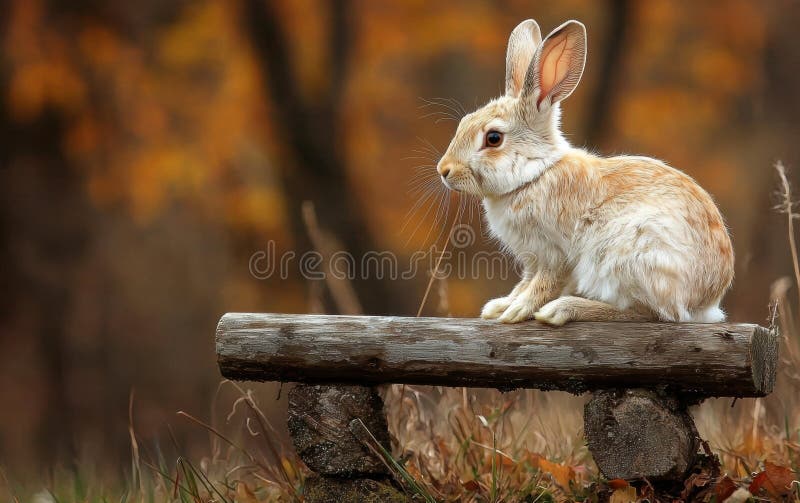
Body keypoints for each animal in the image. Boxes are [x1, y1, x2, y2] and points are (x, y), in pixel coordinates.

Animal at [435, 19, 734, 325]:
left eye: (493, 138)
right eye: (465, 121)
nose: (444, 170)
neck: (535, 174)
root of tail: (705, 302)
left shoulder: (555, 255)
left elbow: (542, 285)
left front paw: (516, 312)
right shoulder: (532, 259)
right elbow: (525, 282)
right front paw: (500, 307)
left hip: (630, 256)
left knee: (652, 313)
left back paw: (564, 309)